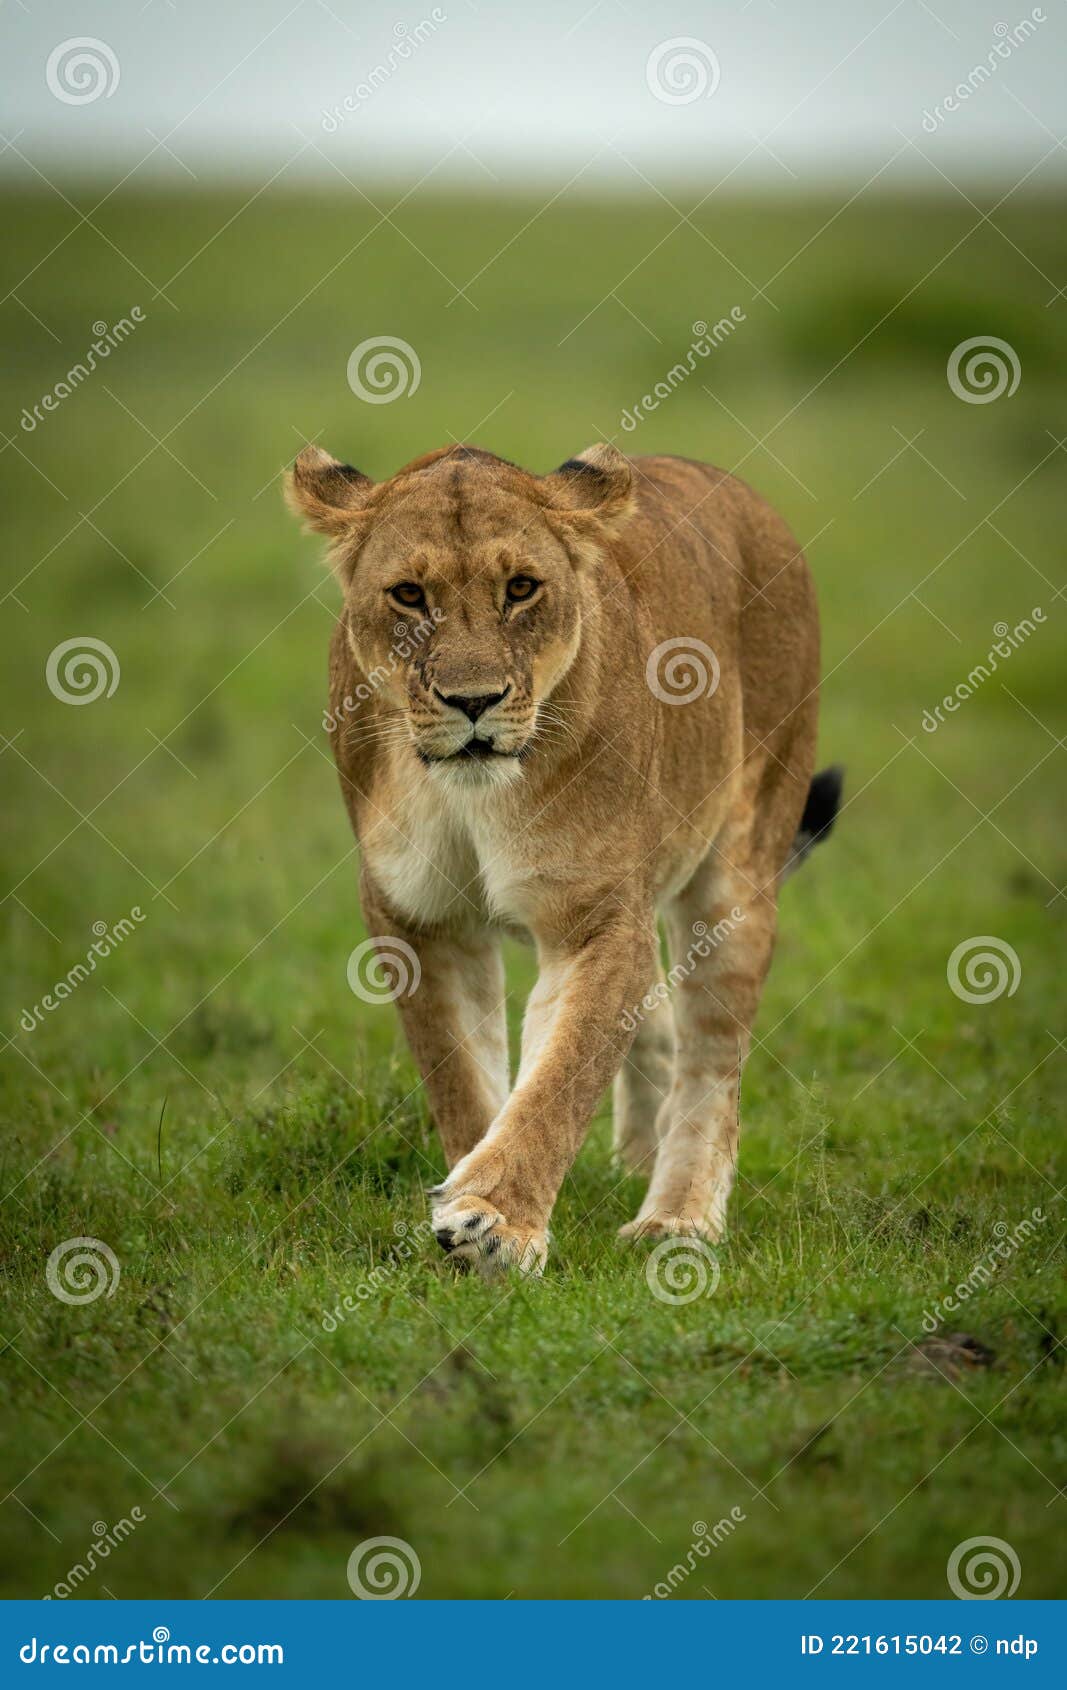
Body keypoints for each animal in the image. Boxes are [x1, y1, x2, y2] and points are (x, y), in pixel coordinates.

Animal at [286, 441, 841, 1274]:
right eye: (409, 595)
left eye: (521, 588)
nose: (472, 701)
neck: (470, 797)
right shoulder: (417, 918)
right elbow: (463, 1077)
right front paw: (466, 1201)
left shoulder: (596, 917)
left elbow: (562, 1074)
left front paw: (495, 1223)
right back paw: (637, 1160)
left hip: (738, 872)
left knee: (712, 1062)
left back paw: (675, 1218)